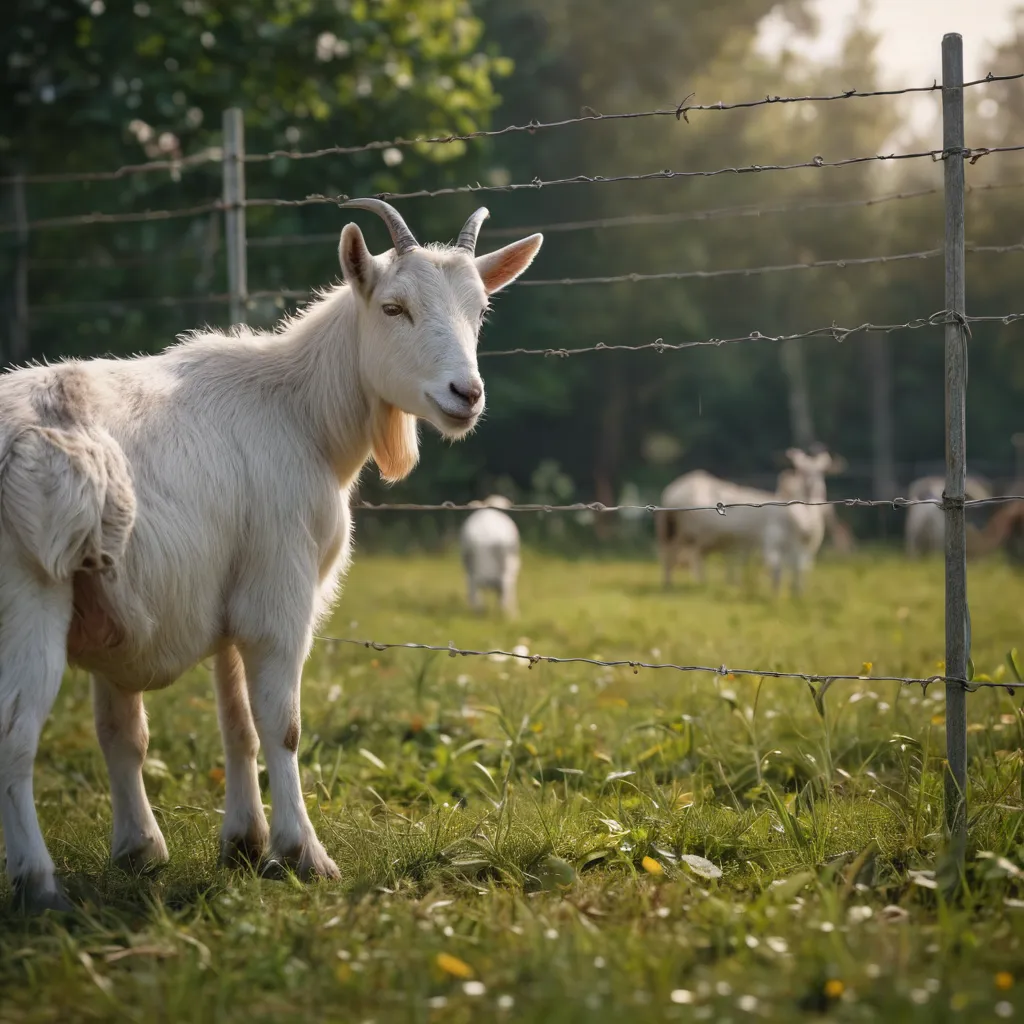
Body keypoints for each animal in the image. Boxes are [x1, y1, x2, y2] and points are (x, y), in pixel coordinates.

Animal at [0, 200, 543, 912]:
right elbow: (281, 726)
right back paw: (38, 884)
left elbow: (205, 726)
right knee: (13, 734)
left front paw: (215, 846)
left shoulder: (217, 590)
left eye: (480, 311)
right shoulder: (279, 586)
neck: (300, 412)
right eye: (393, 307)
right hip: (29, 592)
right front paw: (302, 854)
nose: (466, 394)